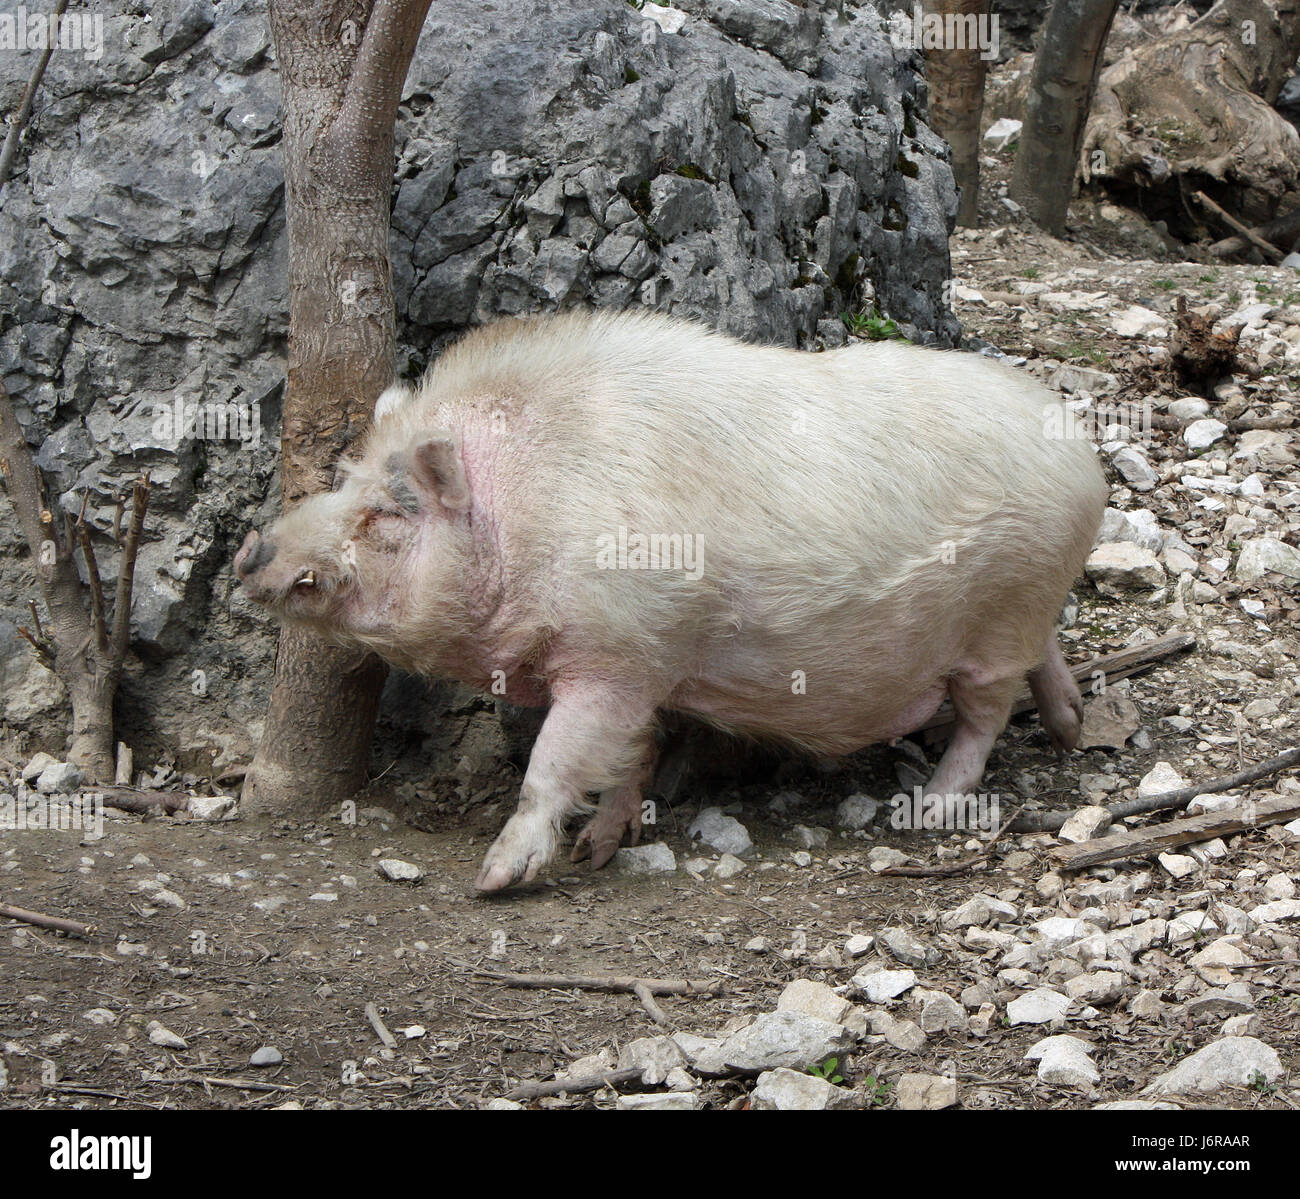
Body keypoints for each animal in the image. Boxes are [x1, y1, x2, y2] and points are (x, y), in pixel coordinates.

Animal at [235, 309, 1107, 892]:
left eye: (386, 512)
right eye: (342, 479)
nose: (254, 552)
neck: (529, 509)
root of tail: (1081, 450)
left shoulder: (614, 653)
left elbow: (556, 761)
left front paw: (496, 877)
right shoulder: (646, 668)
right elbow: (631, 753)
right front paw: (598, 847)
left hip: (1005, 613)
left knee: (985, 716)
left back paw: (929, 809)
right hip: (1023, 614)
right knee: (1045, 661)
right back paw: (1071, 730)